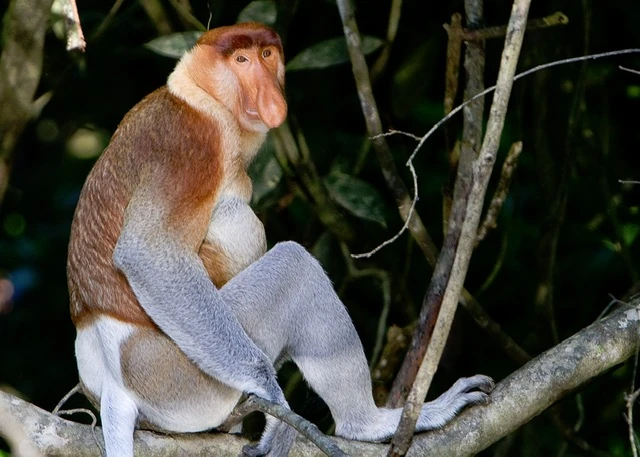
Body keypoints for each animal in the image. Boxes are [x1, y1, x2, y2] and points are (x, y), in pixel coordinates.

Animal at [67, 22, 494, 457]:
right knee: (294, 265)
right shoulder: (191, 144)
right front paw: (271, 394)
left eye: (267, 55)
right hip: (179, 375)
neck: (200, 96)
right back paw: (367, 424)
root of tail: (113, 386)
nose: (269, 92)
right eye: (241, 60)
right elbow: (147, 253)